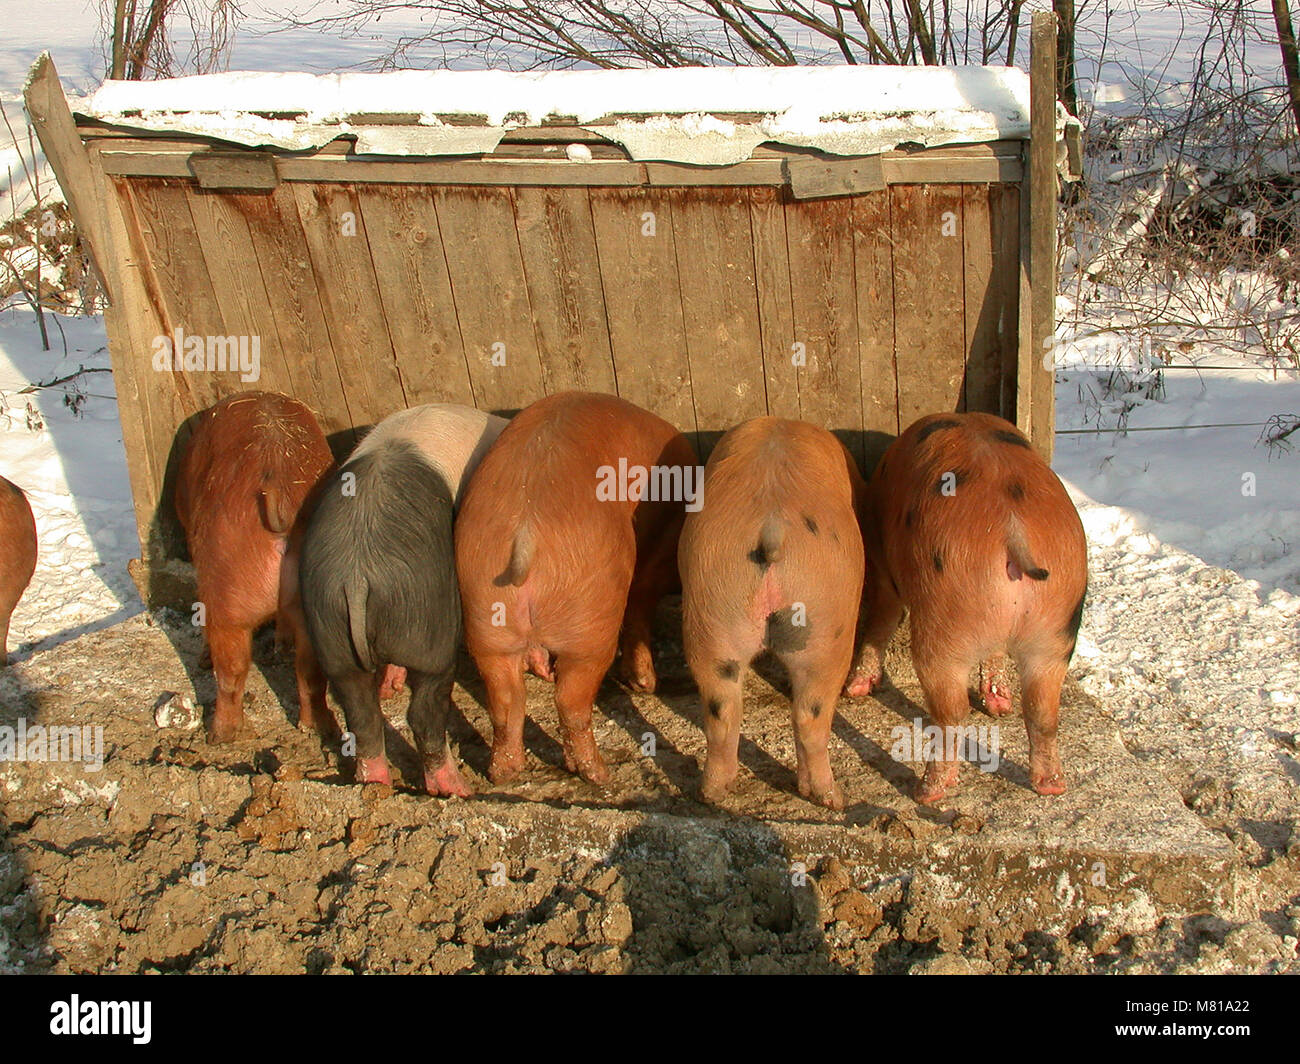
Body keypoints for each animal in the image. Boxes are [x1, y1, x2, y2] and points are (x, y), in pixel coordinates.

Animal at [174, 391, 337, 743]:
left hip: (229, 591)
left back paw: (219, 735)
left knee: (232, 670)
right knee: (310, 671)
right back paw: (318, 728)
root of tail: (283, 502)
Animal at [299, 403, 507, 796]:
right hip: (425, 621)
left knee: (361, 714)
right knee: (423, 710)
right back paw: (457, 789)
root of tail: (356, 577)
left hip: (329, 627)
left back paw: (374, 783)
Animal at [455, 391, 698, 786]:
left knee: (505, 701)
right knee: (571, 701)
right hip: (589, 621)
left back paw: (504, 774)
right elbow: (640, 606)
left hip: (486, 620)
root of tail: (526, 534)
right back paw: (598, 774)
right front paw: (644, 685)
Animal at [679, 418, 866, 810]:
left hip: (712, 607)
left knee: (722, 710)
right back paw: (832, 798)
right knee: (810, 716)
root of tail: (771, 528)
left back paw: (712, 793)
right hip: (831, 621)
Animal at [850, 412, 1088, 803]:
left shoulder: (884, 570)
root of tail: (1014, 533)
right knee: (1042, 713)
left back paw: (927, 791)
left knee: (952, 714)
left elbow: (882, 619)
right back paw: (1049, 781)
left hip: (945, 621)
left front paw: (855, 689)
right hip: (1056, 629)